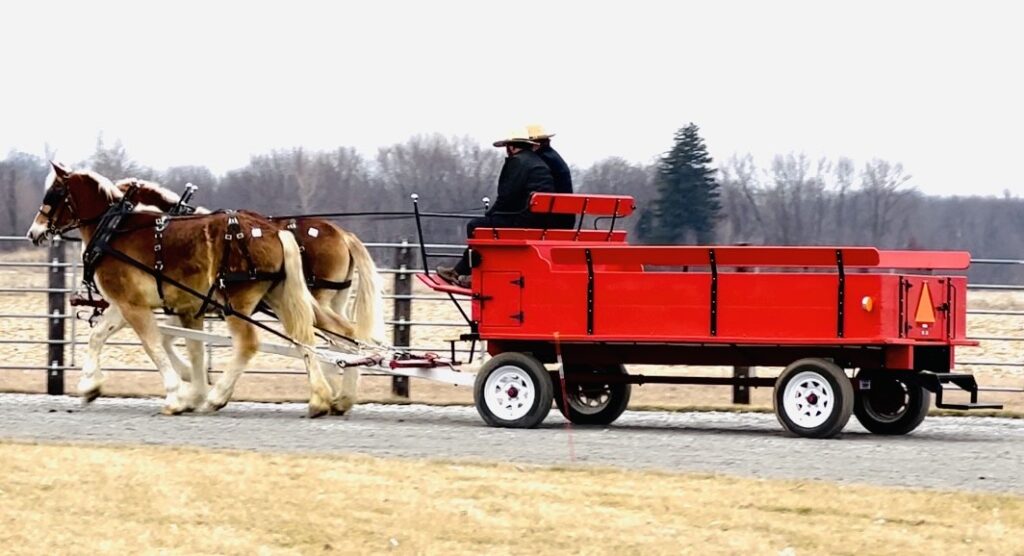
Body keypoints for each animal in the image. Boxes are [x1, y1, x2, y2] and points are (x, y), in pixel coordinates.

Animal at [27, 163, 358, 417]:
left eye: (54, 194)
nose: (34, 232)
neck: (114, 230)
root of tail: (274, 231)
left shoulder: (135, 305)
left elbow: (155, 345)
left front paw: (178, 395)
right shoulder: (137, 305)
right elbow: (105, 337)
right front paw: (89, 386)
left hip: (241, 303)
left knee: (252, 344)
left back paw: (219, 396)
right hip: (287, 297)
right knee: (324, 335)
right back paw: (325, 398)